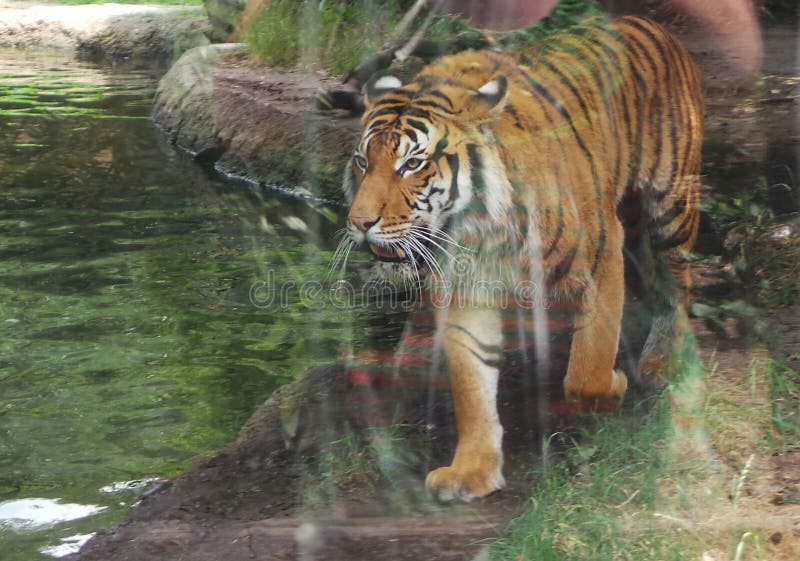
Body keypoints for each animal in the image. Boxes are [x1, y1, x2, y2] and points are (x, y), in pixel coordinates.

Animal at [337, 15, 703, 502]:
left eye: (412, 164)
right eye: (363, 161)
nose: (360, 221)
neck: (478, 227)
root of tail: (649, 23)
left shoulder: (602, 251)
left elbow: (586, 370)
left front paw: (613, 388)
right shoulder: (466, 291)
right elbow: (471, 387)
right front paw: (472, 470)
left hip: (671, 204)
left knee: (676, 283)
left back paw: (660, 363)